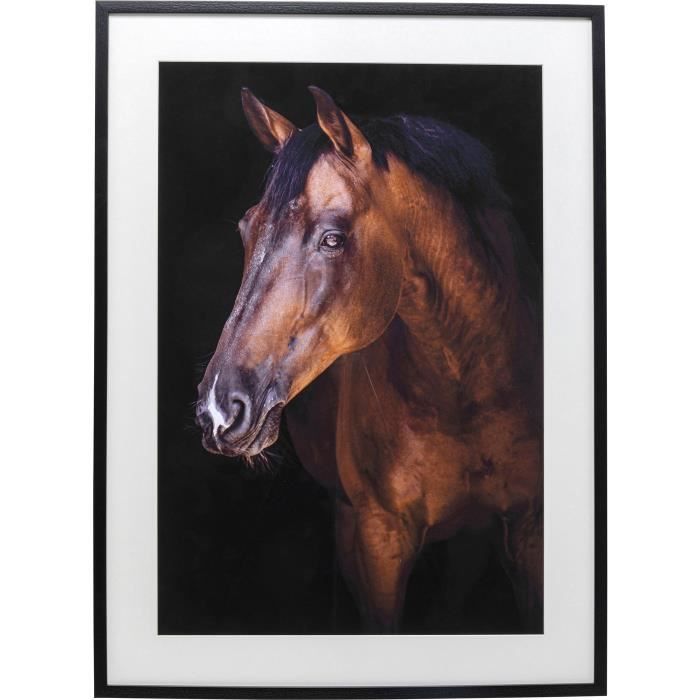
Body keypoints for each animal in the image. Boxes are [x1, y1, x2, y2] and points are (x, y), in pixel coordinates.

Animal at [196, 86, 543, 632]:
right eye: (246, 229)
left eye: (333, 237)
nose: (217, 409)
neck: (466, 385)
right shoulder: (378, 536)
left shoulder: (531, 530)